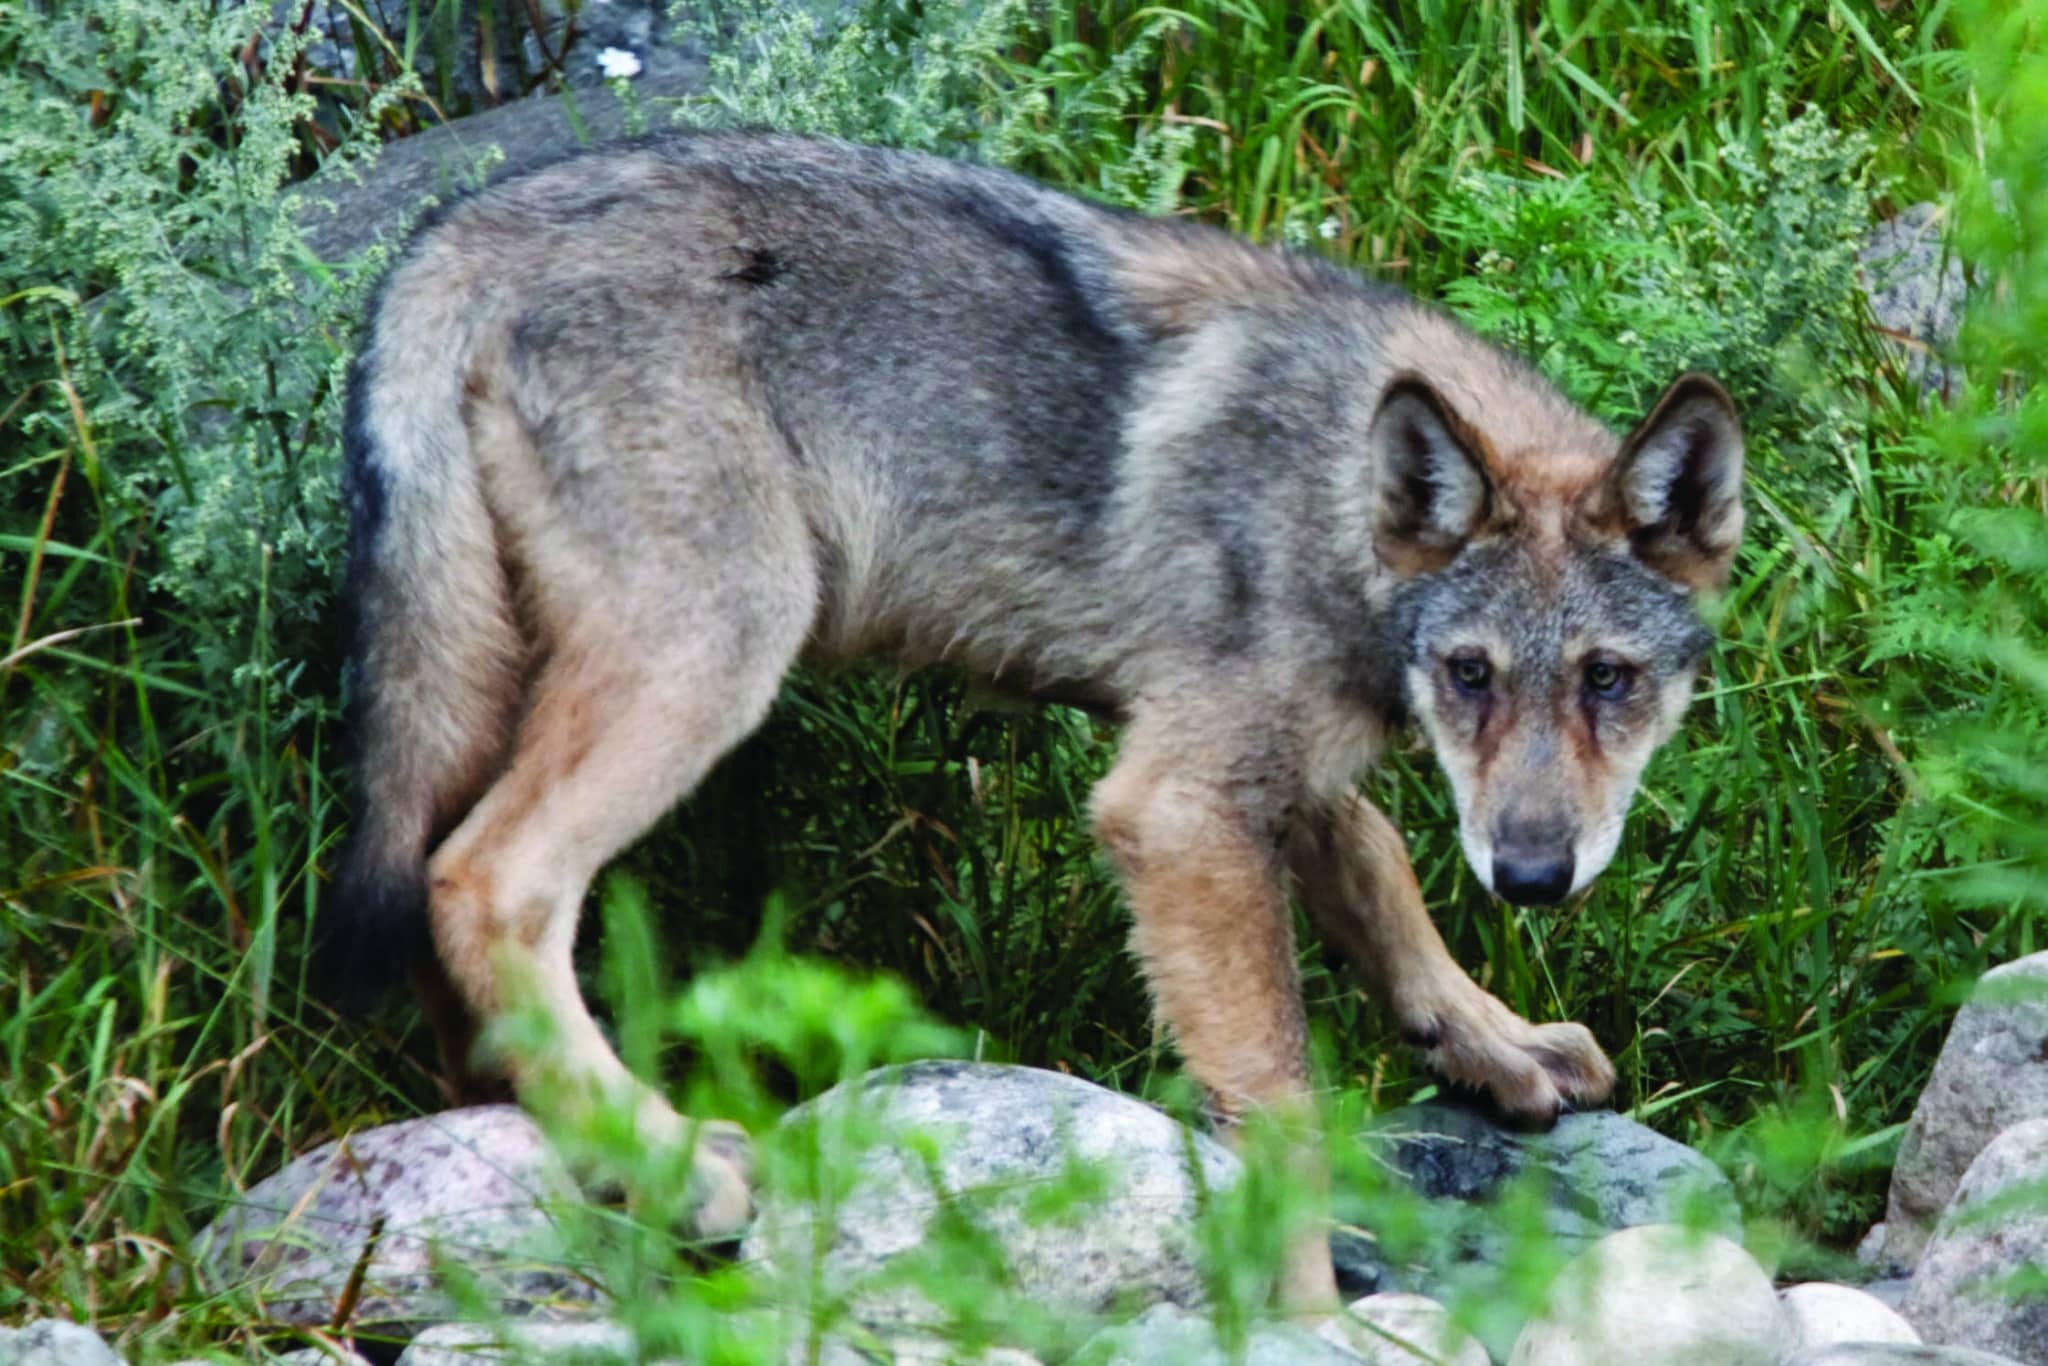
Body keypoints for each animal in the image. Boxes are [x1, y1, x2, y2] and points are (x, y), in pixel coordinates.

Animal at [328, 131, 1743, 1307]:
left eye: (1605, 680)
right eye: (1471, 675)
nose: (1532, 877)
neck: (1328, 495)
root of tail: (463, 236)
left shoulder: (1254, 768)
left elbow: (1383, 872)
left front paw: (1488, 1040)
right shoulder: (1172, 806)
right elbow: (1283, 1100)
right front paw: (1306, 1313)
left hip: (504, 686)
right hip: (714, 658)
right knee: (483, 880)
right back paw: (666, 1158)